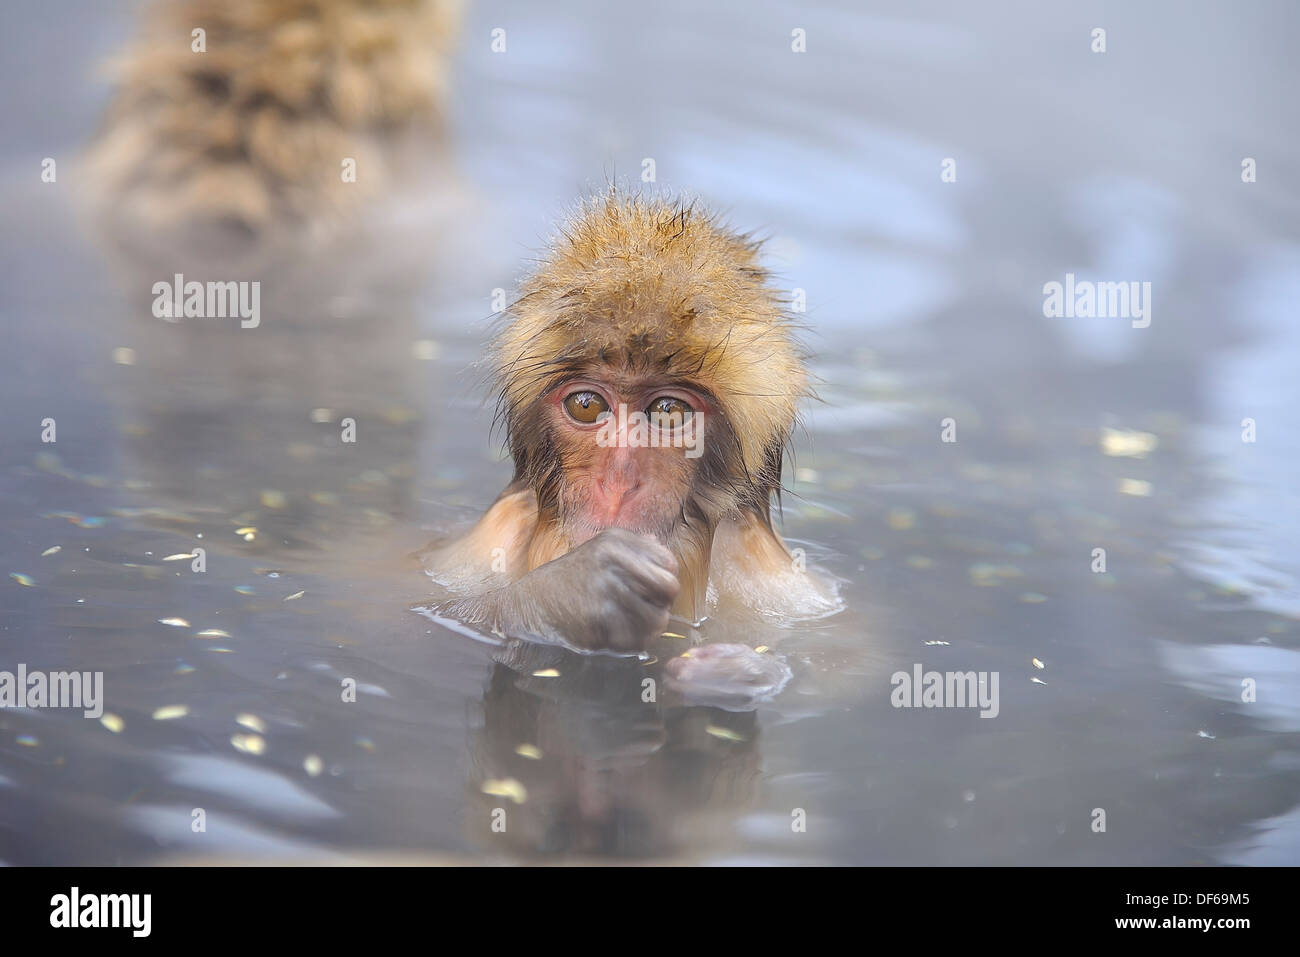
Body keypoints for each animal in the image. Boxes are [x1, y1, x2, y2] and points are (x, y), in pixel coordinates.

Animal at [424, 193, 842, 656]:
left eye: (668, 411)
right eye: (587, 405)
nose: (618, 481)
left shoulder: (780, 588)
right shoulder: (481, 547)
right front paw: (574, 589)